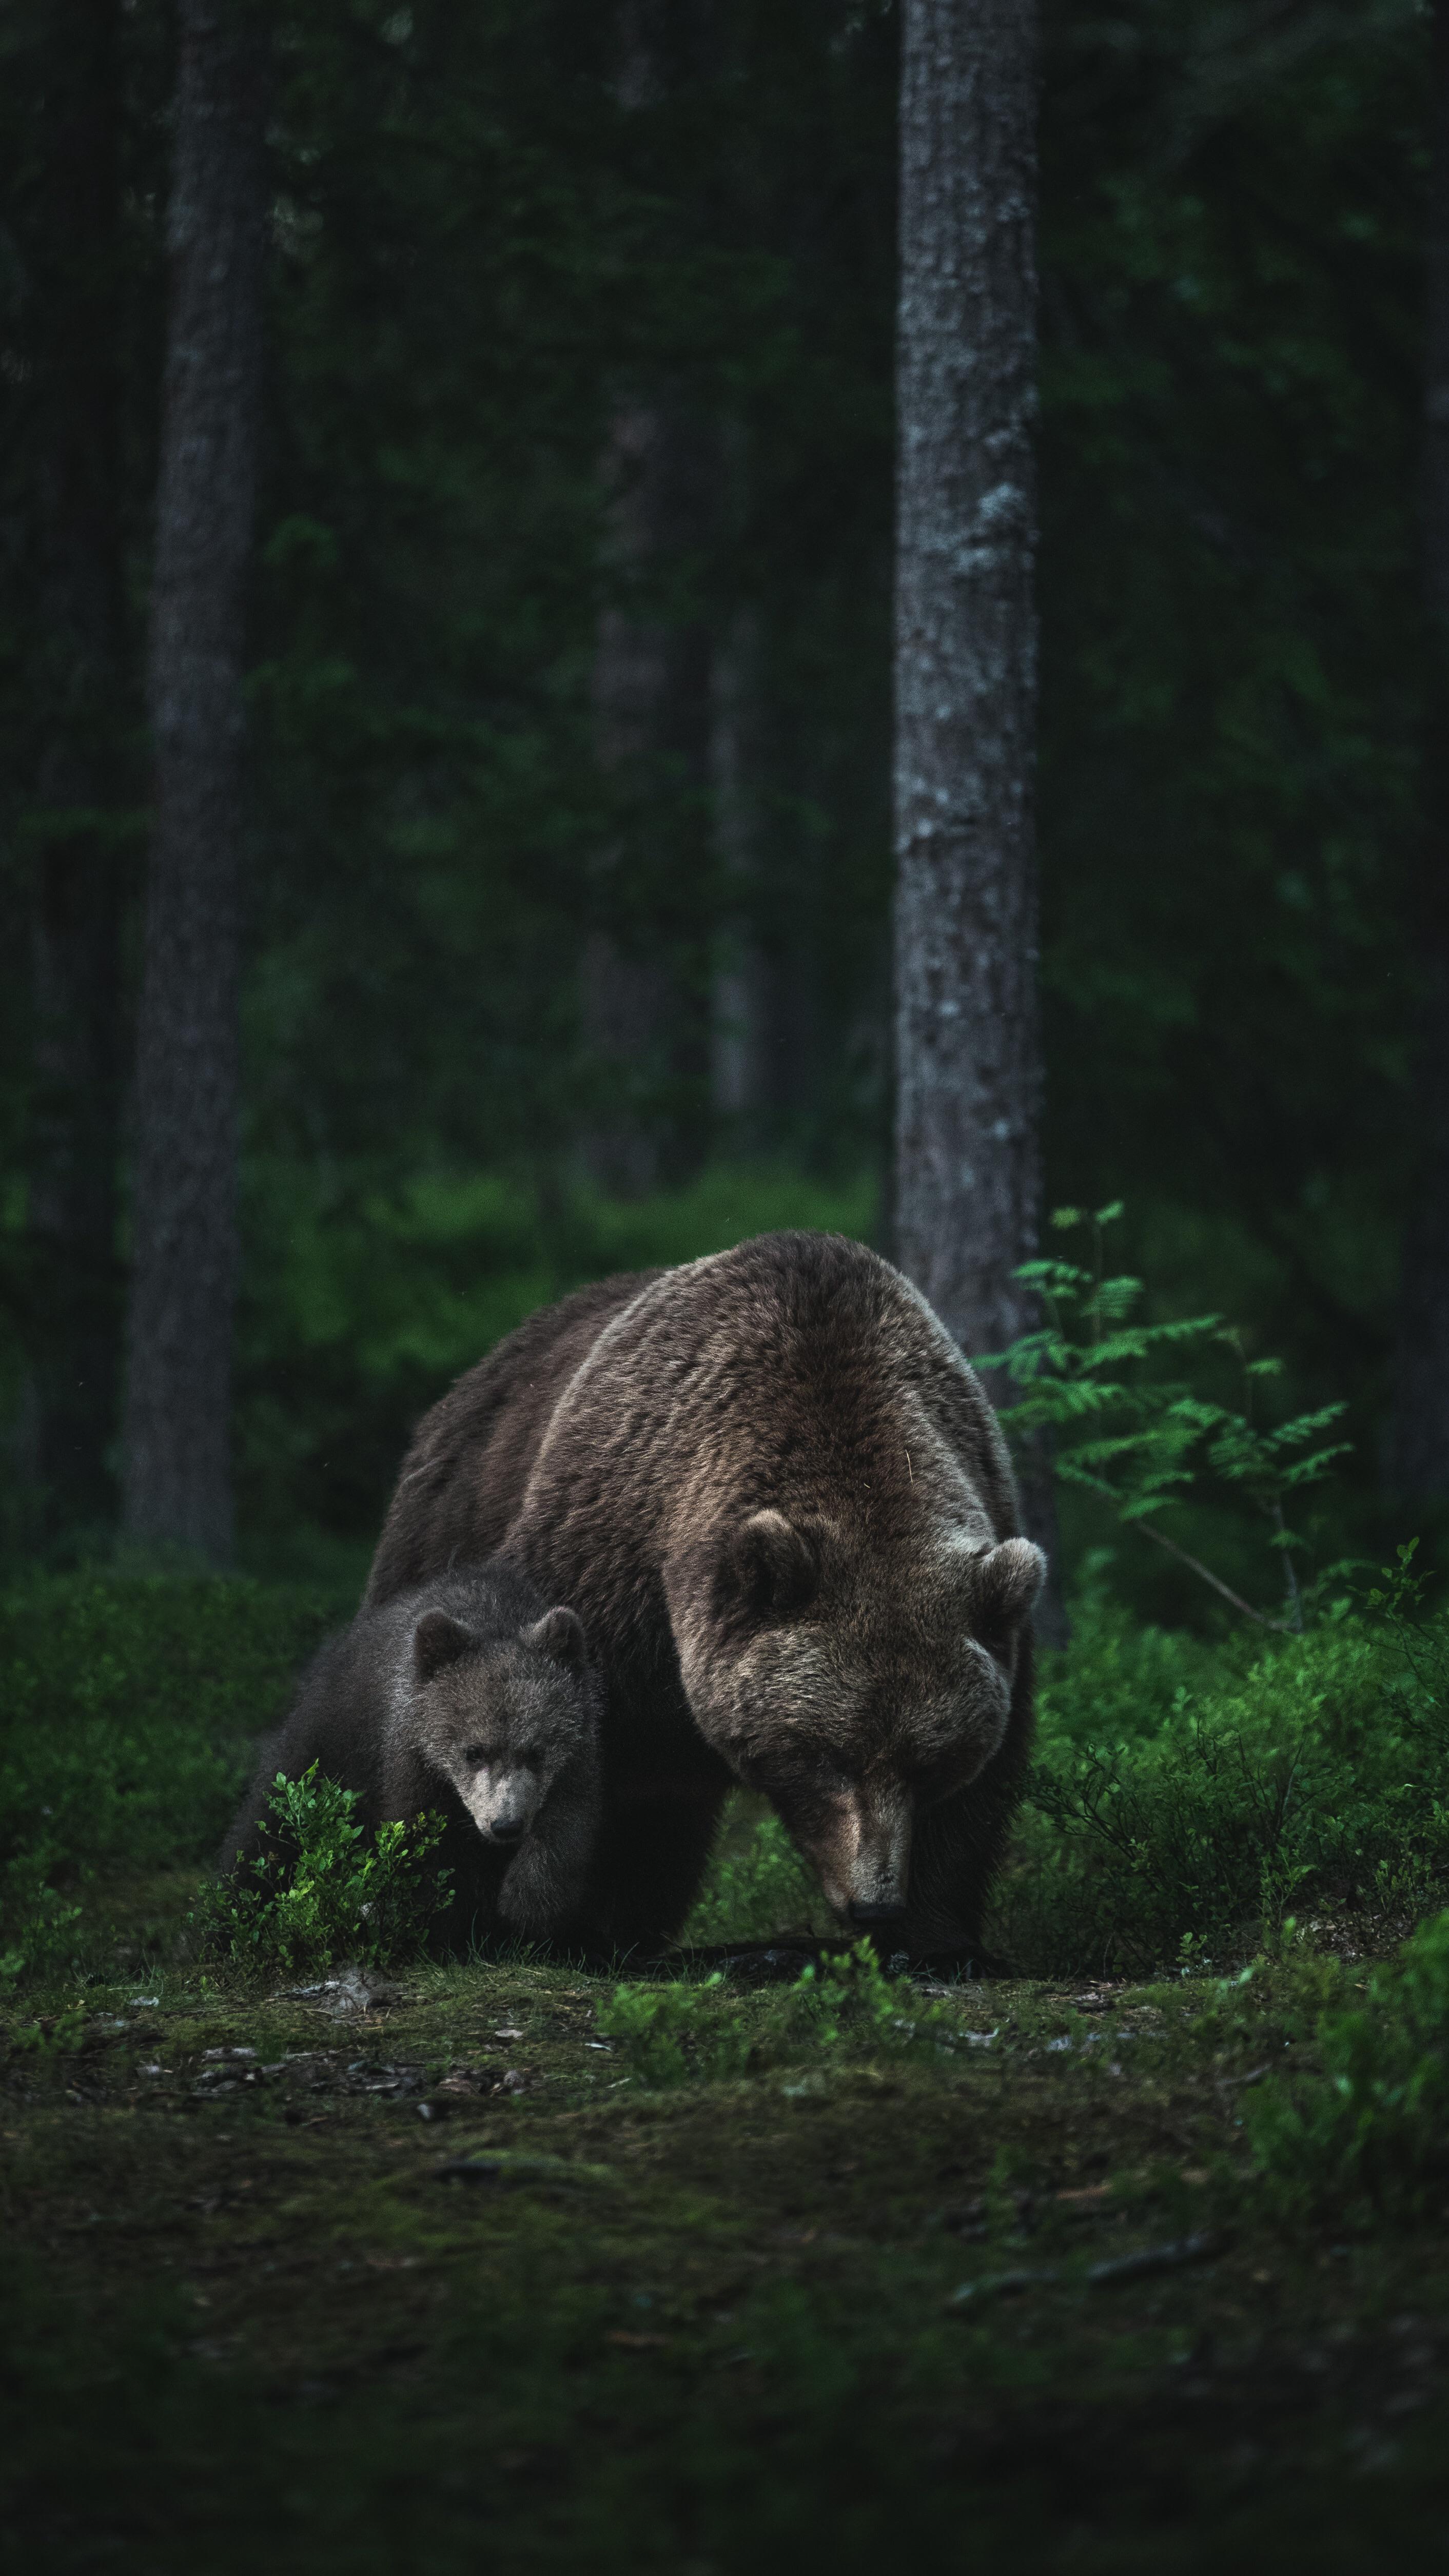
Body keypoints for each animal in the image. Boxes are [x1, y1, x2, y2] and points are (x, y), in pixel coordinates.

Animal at [220, 1561, 602, 1950]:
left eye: (536, 1750)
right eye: (473, 1752)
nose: (505, 1825)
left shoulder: (576, 1763)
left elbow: (563, 1832)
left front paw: (527, 1910)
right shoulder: (412, 1758)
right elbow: (420, 1845)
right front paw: (434, 1924)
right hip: (325, 1739)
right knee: (264, 1832)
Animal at [364, 1231, 1046, 1964]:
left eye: (930, 1763)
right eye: (827, 1756)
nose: (873, 1900)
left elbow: (977, 1797)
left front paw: (935, 1935)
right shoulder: (605, 1578)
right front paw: (550, 1924)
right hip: (438, 1534)